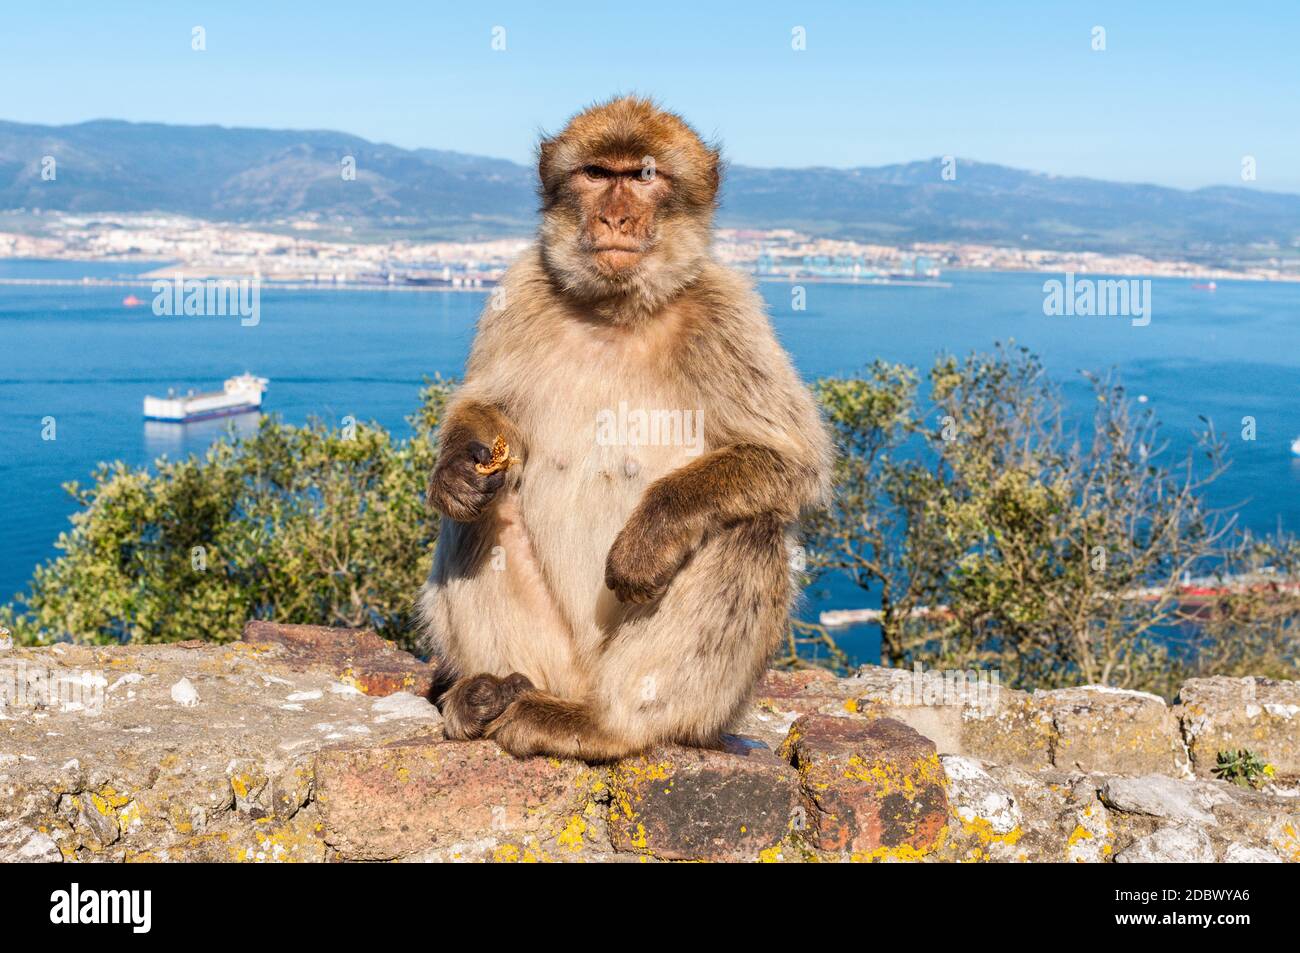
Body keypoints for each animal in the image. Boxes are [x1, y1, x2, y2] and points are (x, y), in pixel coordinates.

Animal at [417, 96, 832, 761]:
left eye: (642, 176)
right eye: (595, 174)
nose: (615, 217)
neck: (616, 310)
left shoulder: (727, 312)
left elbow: (790, 457)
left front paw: (651, 533)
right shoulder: (520, 289)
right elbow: (489, 411)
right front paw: (457, 466)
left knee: (750, 530)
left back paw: (607, 725)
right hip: (556, 654)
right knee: (481, 514)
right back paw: (486, 694)